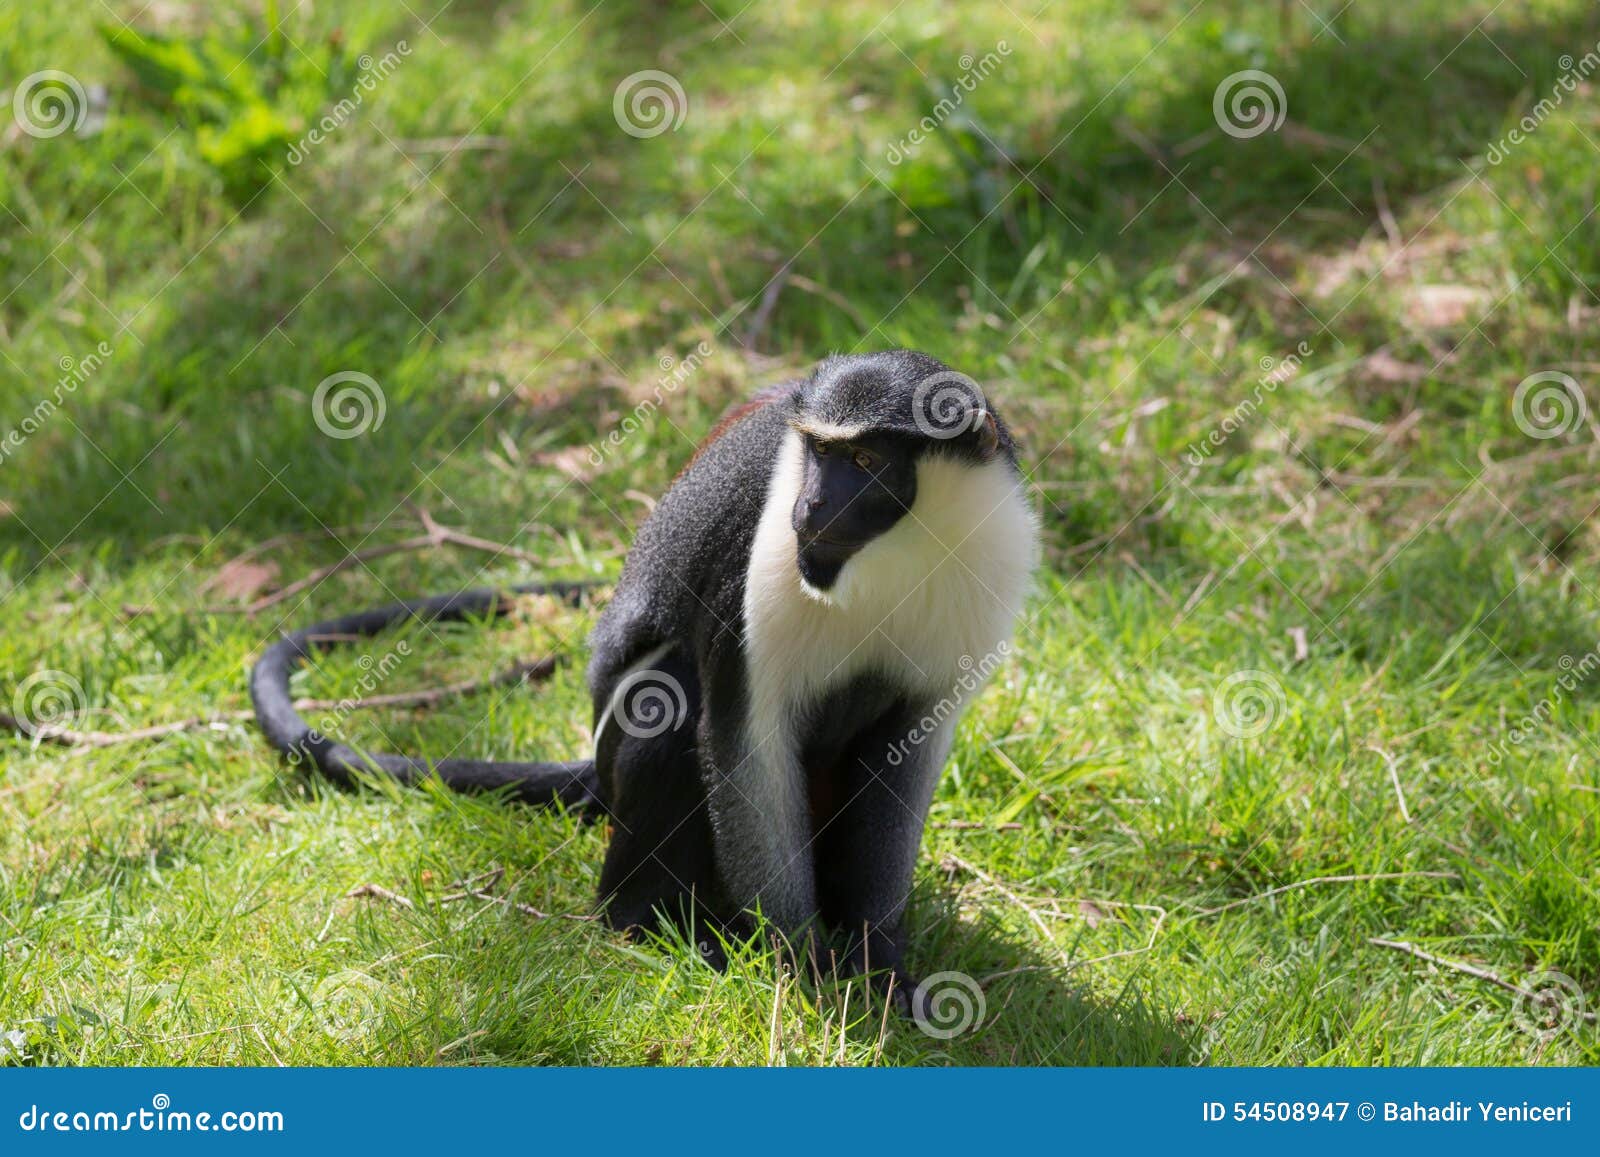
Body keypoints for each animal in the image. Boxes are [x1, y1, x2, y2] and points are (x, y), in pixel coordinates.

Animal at [252, 349, 1039, 1008]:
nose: (811, 506)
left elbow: (903, 755)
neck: (898, 549)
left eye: (866, 458)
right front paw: (801, 961)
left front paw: (879, 962)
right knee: (669, 697)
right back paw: (646, 922)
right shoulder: (757, 561)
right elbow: (742, 741)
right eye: (819, 452)